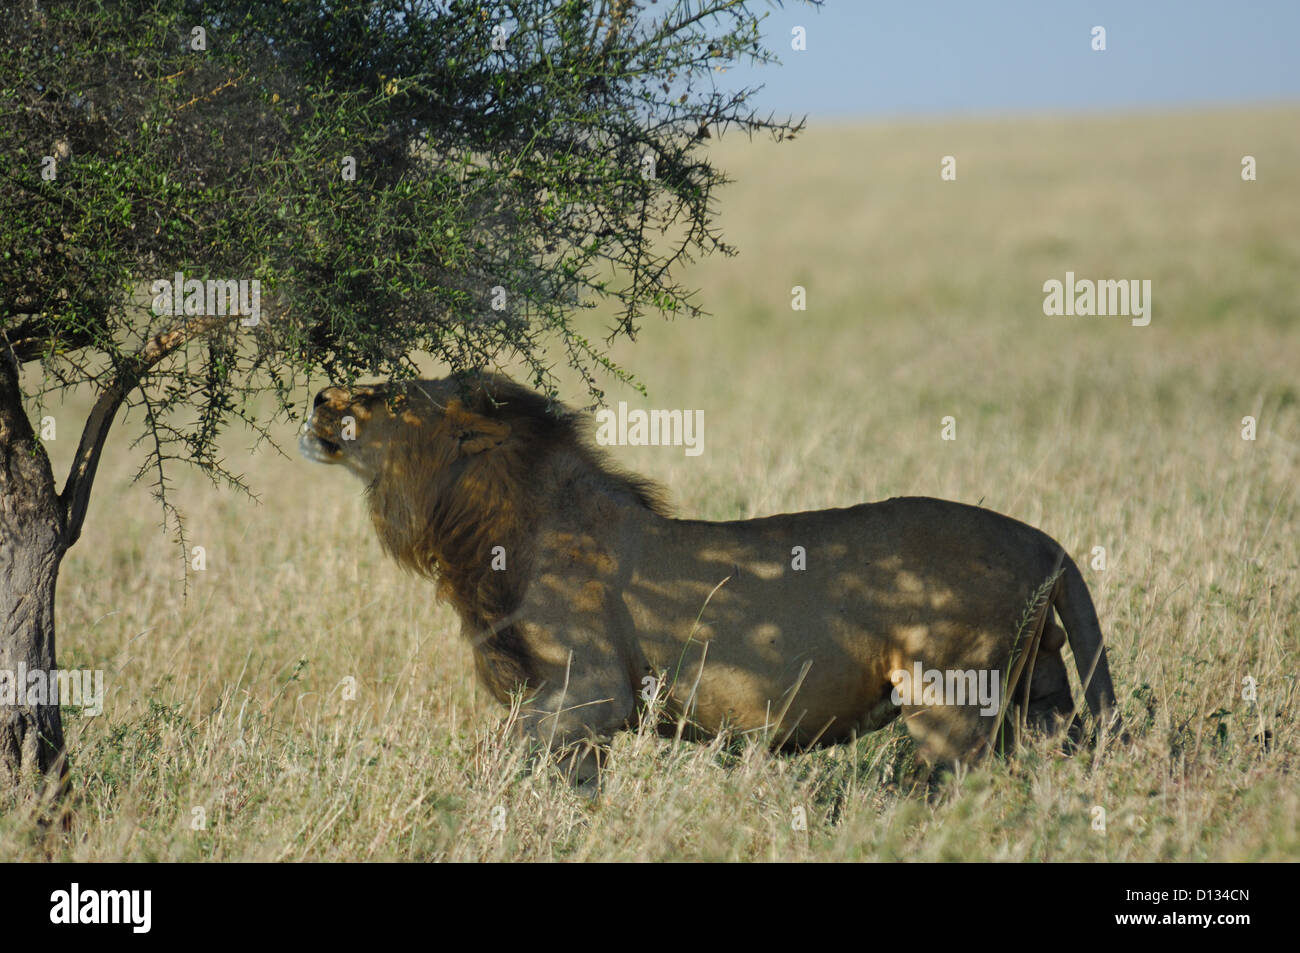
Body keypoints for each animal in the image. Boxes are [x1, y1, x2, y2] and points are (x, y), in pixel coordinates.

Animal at [300, 373, 1120, 784]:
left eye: (393, 395)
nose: (317, 396)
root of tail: (1044, 541)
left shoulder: (590, 690)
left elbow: (502, 760)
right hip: (1038, 690)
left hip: (952, 699)